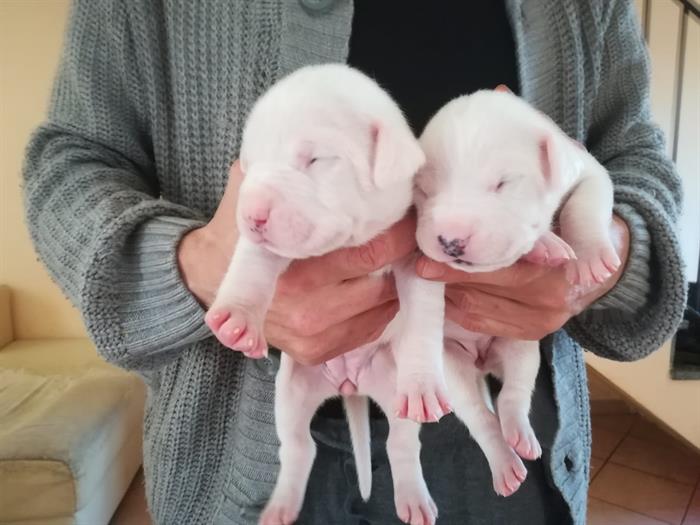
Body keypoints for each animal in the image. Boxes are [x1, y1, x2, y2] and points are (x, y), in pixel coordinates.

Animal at [208, 65, 446, 524]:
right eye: (252, 162)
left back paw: (412, 496)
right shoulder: (267, 247)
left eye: (315, 160)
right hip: (291, 391)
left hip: (389, 384)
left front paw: (424, 380)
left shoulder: (417, 251)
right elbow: (252, 262)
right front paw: (236, 317)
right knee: (300, 447)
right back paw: (281, 506)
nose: (251, 215)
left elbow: (424, 312)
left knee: (402, 442)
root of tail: (351, 384)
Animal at [412, 89, 620, 496]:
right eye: (425, 191)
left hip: (521, 347)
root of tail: (482, 361)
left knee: (513, 396)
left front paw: (590, 257)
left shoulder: (587, 170)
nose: (451, 241)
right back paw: (505, 463)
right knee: (479, 417)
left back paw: (519, 434)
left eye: (504, 183)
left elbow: (584, 206)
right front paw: (546, 245)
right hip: (451, 365)